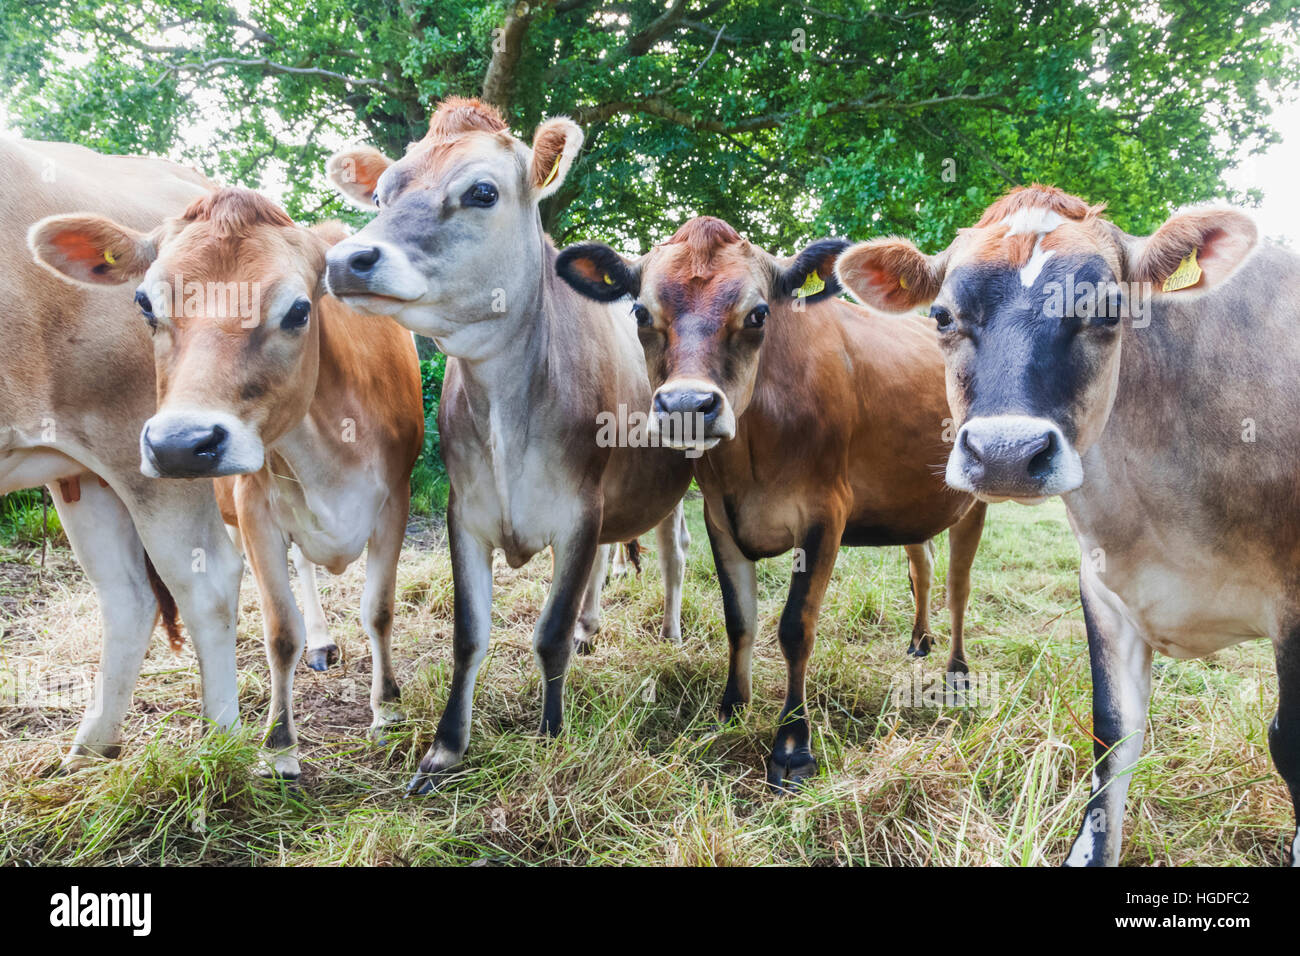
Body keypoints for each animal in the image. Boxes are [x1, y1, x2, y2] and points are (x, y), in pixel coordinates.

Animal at [8, 137, 243, 768]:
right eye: (144, 301)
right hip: (88, 468)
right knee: (127, 596)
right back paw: (89, 752)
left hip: (139, 446)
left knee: (205, 580)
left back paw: (223, 754)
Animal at [30, 187, 424, 779]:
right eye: (144, 304)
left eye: (299, 309)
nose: (179, 443)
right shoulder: (256, 508)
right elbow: (281, 631)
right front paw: (280, 746)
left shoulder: (395, 498)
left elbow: (378, 611)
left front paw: (389, 712)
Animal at [322, 97, 694, 793]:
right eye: (381, 193)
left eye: (482, 191)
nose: (345, 260)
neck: (507, 415)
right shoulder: (466, 513)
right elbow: (470, 634)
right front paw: (445, 748)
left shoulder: (580, 510)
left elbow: (547, 633)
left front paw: (551, 734)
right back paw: (591, 629)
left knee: (674, 554)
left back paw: (671, 633)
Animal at [555, 216, 988, 790]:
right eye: (641, 312)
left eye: (759, 313)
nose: (687, 406)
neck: (752, 452)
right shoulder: (720, 516)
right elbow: (740, 619)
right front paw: (731, 708)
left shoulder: (826, 515)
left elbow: (795, 628)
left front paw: (792, 745)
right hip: (911, 502)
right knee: (923, 564)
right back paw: (919, 640)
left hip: (975, 496)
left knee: (959, 586)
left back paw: (957, 674)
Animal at [836, 184, 1299, 865]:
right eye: (942, 316)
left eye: (1108, 310)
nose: (1005, 452)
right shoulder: (1104, 590)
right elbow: (1113, 735)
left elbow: (1289, 742)